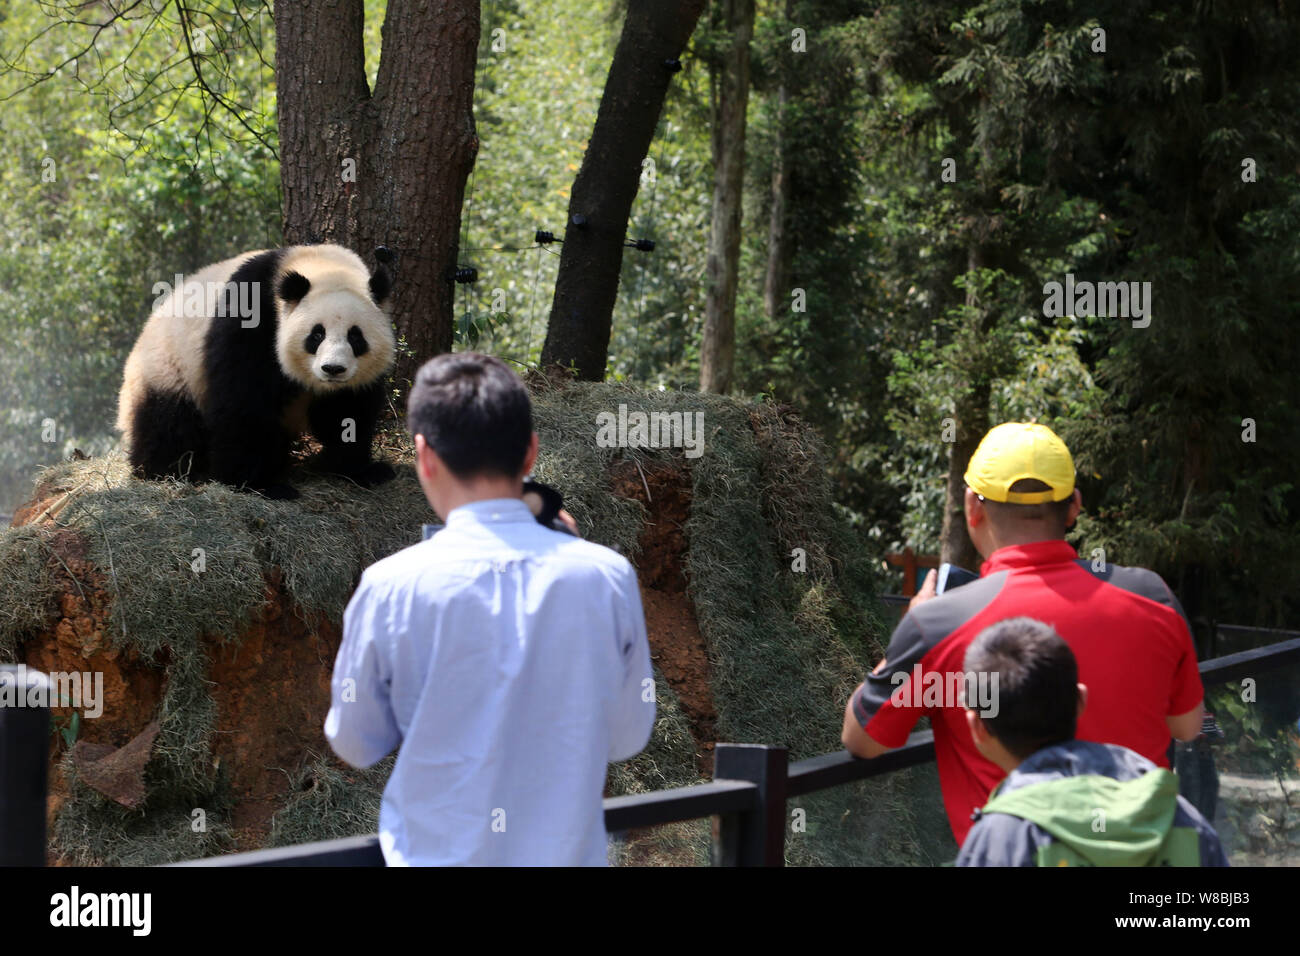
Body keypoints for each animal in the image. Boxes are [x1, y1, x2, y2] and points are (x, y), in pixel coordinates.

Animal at [116, 243, 397, 500]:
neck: (321, 265)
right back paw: (167, 470)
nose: (333, 369)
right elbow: (243, 401)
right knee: (168, 424)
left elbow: (347, 412)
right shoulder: (251, 318)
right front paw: (259, 485)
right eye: (317, 334)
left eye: (355, 336)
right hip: (169, 368)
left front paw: (362, 469)